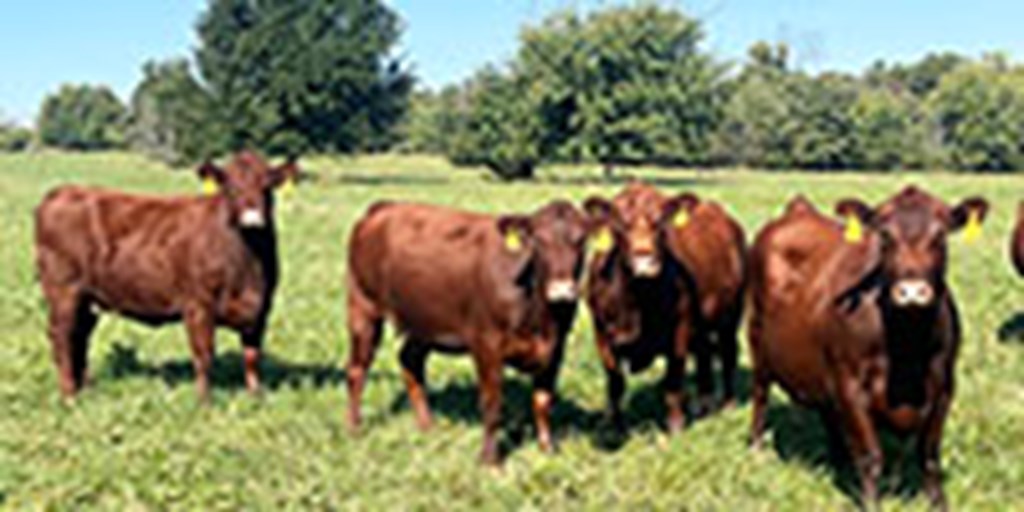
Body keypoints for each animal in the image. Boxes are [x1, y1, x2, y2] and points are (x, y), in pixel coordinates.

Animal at [34, 151, 298, 400]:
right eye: (230, 187)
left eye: (267, 185)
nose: (252, 219)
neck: (247, 268)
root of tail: (64, 191)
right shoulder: (198, 305)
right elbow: (204, 355)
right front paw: (205, 402)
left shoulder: (261, 307)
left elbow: (252, 356)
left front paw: (256, 396)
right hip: (63, 291)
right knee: (62, 337)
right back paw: (69, 396)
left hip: (87, 299)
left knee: (80, 337)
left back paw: (84, 390)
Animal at [345, 200, 590, 465]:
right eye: (537, 241)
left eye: (581, 239)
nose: (561, 290)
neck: (540, 319)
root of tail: (384, 207)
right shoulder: (486, 344)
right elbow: (492, 403)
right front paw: (489, 459)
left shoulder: (556, 347)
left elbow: (542, 401)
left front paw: (547, 449)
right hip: (363, 305)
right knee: (357, 369)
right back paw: (354, 427)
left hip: (425, 321)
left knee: (409, 360)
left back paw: (427, 425)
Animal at [583, 182, 743, 432]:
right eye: (619, 223)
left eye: (660, 221)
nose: (644, 259)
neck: (635, 304)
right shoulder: (601, 332)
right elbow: (615, 381)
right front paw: (613, 424)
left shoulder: (680, 329)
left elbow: (673, 379)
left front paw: (675, 424)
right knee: (705, 355)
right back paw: (703, 404)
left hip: (731, 316)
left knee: (728, 354)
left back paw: (727, 403)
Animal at [747, 186, 988, 509]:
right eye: (885, 236)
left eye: (940, 235)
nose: (912, 291)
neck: (907, 347)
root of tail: (798, 211)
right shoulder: (850, 385)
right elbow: (871, 457)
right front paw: (871, 503)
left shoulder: (945, 387)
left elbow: (929, 457)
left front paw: (939, 503)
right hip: (758, 341)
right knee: (760, 395)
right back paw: (756, 446)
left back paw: (838, 460)